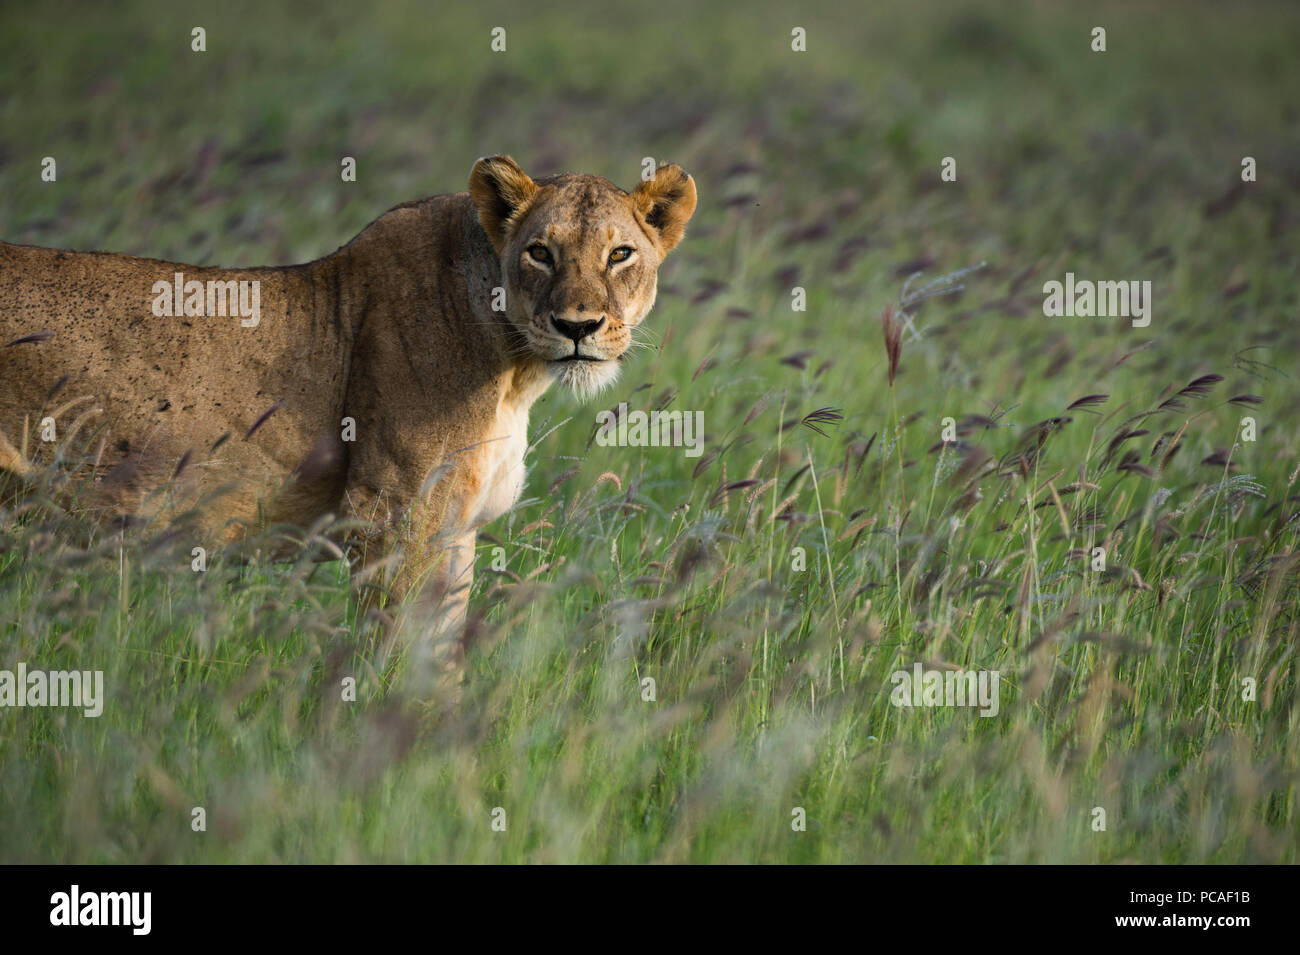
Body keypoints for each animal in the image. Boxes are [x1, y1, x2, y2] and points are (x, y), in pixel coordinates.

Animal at [0, 155, 698, 671]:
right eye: (540, 252)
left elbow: (442, 654)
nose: (577, 327)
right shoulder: (393, 514)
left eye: (620, 255)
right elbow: (396, 655)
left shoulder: (457, 527)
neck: (514, 372)